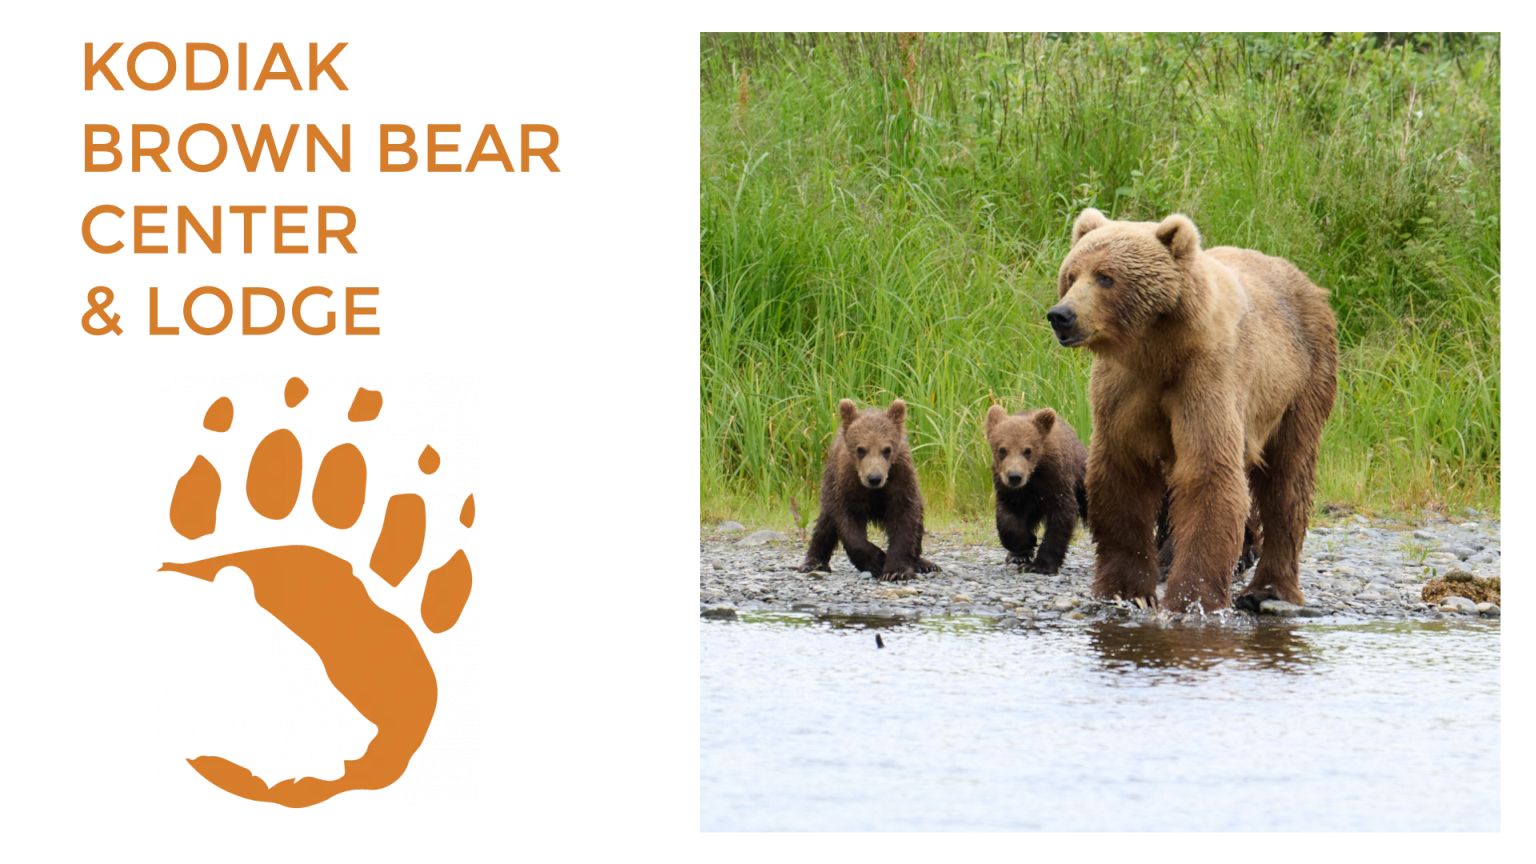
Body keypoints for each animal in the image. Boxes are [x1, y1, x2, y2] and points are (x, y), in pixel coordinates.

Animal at [798, 399, 940, 581]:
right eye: (860, 449)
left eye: (887, 449)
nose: (874, 478)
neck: (874, 491)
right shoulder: (848, 486)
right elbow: (848, 525)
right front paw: (877, 561)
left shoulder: (900, 481)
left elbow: (905, 522)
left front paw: (896, 571)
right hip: (830, 482)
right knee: (824, 524)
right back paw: (812, 563)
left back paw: (924, 564)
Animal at [984, 404, 1088, 574]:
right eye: (1002, 450)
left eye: (1028, 450)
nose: (1015, 476)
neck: (1033, 476)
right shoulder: (1011, 490)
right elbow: (1007, 517)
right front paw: (1025, 544)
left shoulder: (1056, 482)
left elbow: (1061, 517)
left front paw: (1040, 565)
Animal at [1046, 208, 1337, 613]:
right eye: (1070, 275)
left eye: (1105, 277)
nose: (1061, 315)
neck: (1159, 350)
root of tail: (1304, 279)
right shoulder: (1124, 389)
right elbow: (1122, 472)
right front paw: (1127, 590)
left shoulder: (1205, 376)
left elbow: (1208, 471)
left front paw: (1192, 597)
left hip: (1300, 383)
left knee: (1286, 482)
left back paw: (1267, 589)